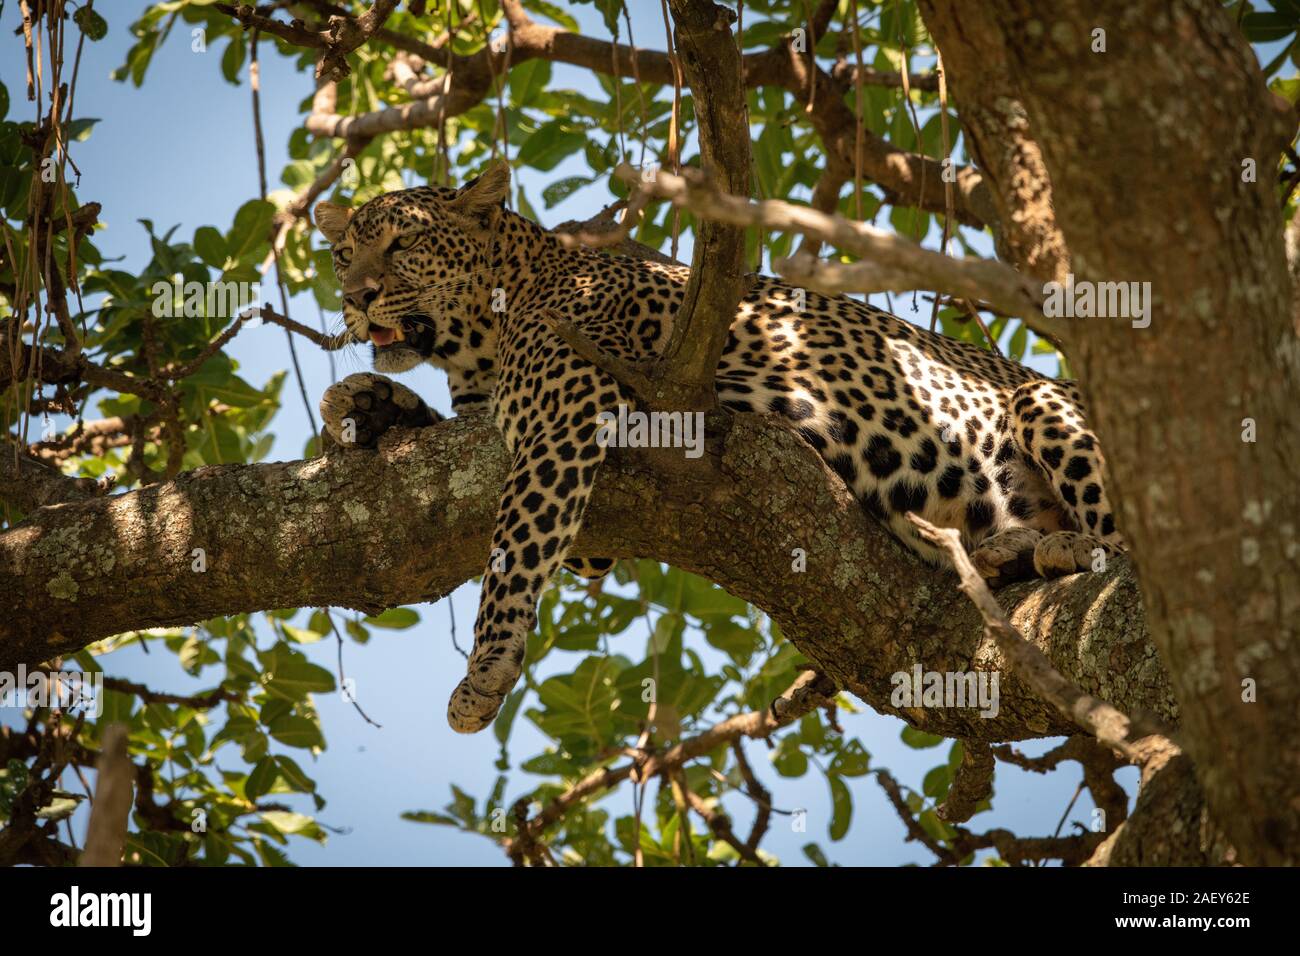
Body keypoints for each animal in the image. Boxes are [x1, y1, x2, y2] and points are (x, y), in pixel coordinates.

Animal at [313, 161, 1124, 734]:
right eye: (342, 254)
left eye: (404, 243)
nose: (352, 296)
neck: (476, 344)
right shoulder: (583, 523)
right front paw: (368, 406)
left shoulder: (567, 417)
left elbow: (513, 548)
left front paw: (485, 670)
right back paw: (1011, 553)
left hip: (1044, 401)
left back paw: (1072, 551)